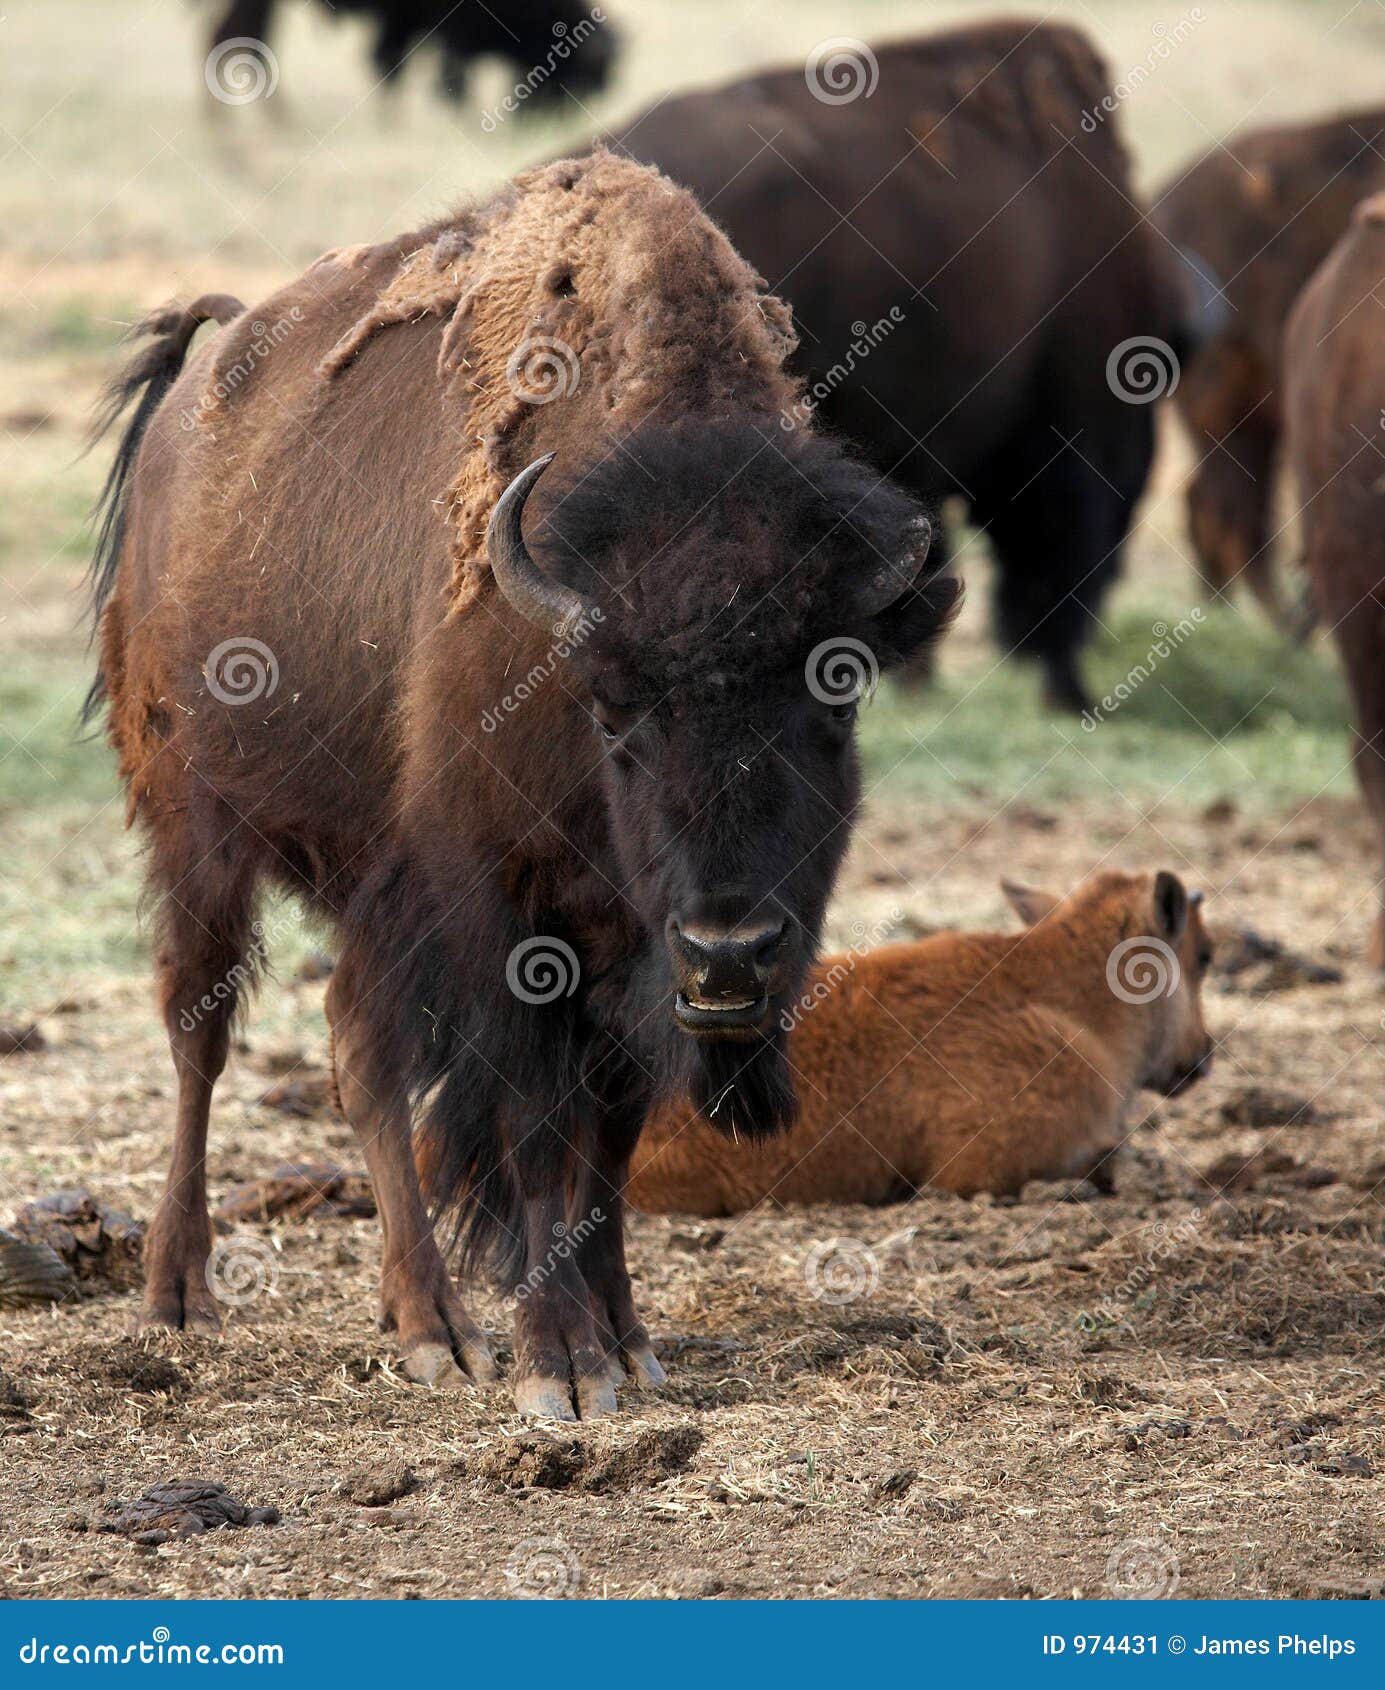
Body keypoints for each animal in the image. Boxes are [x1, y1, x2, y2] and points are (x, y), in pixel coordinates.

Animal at [88, 154, 955, 1418]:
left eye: (836, 696)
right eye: (612, 708)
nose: (732, 953)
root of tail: (194, 397)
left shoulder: (623, 949)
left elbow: (611, 1142)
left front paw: (626, 1342)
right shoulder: (508, 912)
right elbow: (542, 1131)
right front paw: (562, 1368)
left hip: (376, 881)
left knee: (357, 1046)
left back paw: (429, 1324)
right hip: (196, 830)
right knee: (200, 1032)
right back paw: (179, 1293)